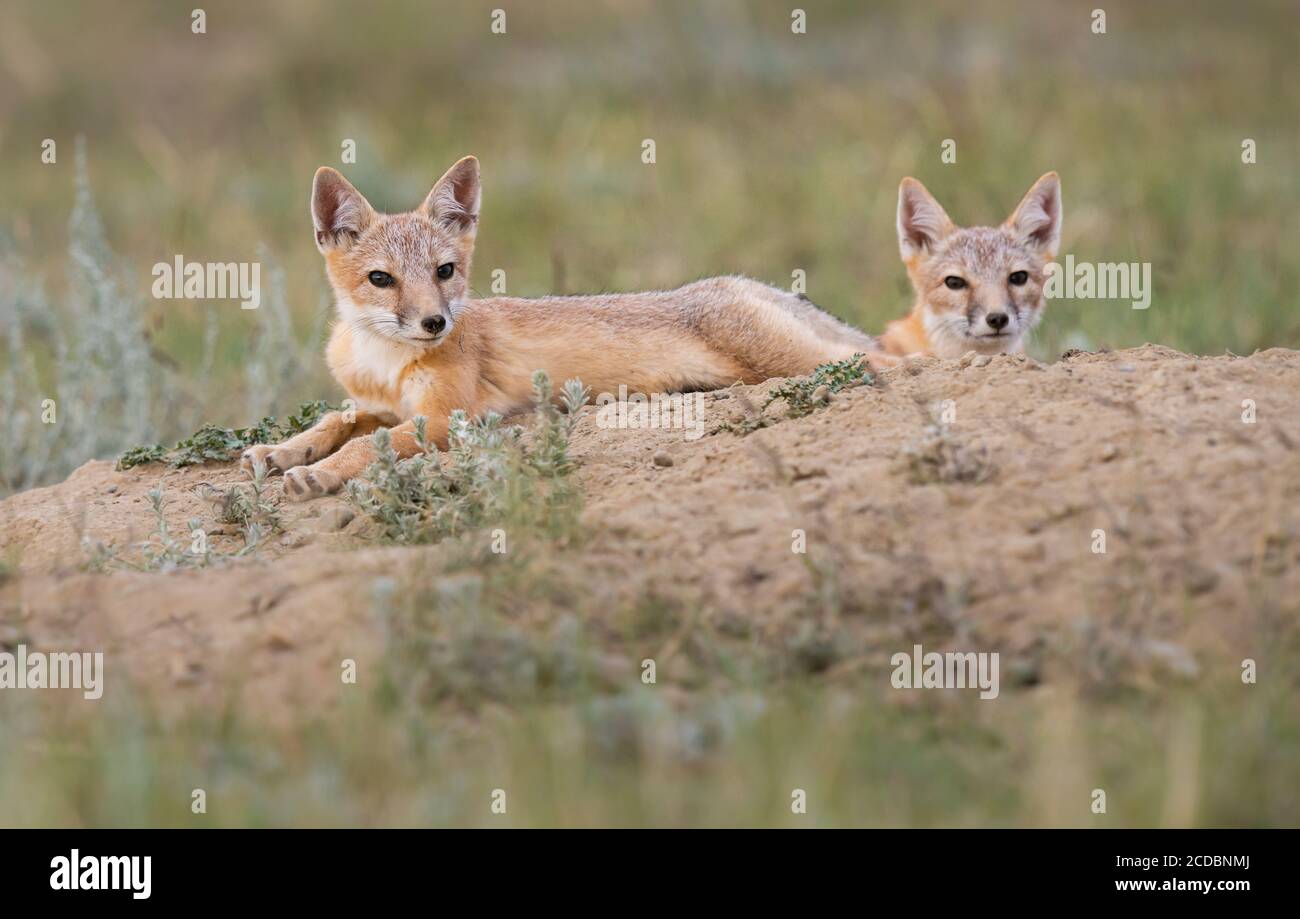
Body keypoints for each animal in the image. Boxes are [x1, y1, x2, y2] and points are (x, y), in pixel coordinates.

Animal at [241, 156, 896, 499]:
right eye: (382, 279)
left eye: (445, 271)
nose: (434, 321)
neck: (385, 360)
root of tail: (743, 283)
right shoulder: (378, 404)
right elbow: (336, 420)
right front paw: (282, 450)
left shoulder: (450, 417)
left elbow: (363, 447)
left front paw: (318, 473)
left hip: (801, 360)